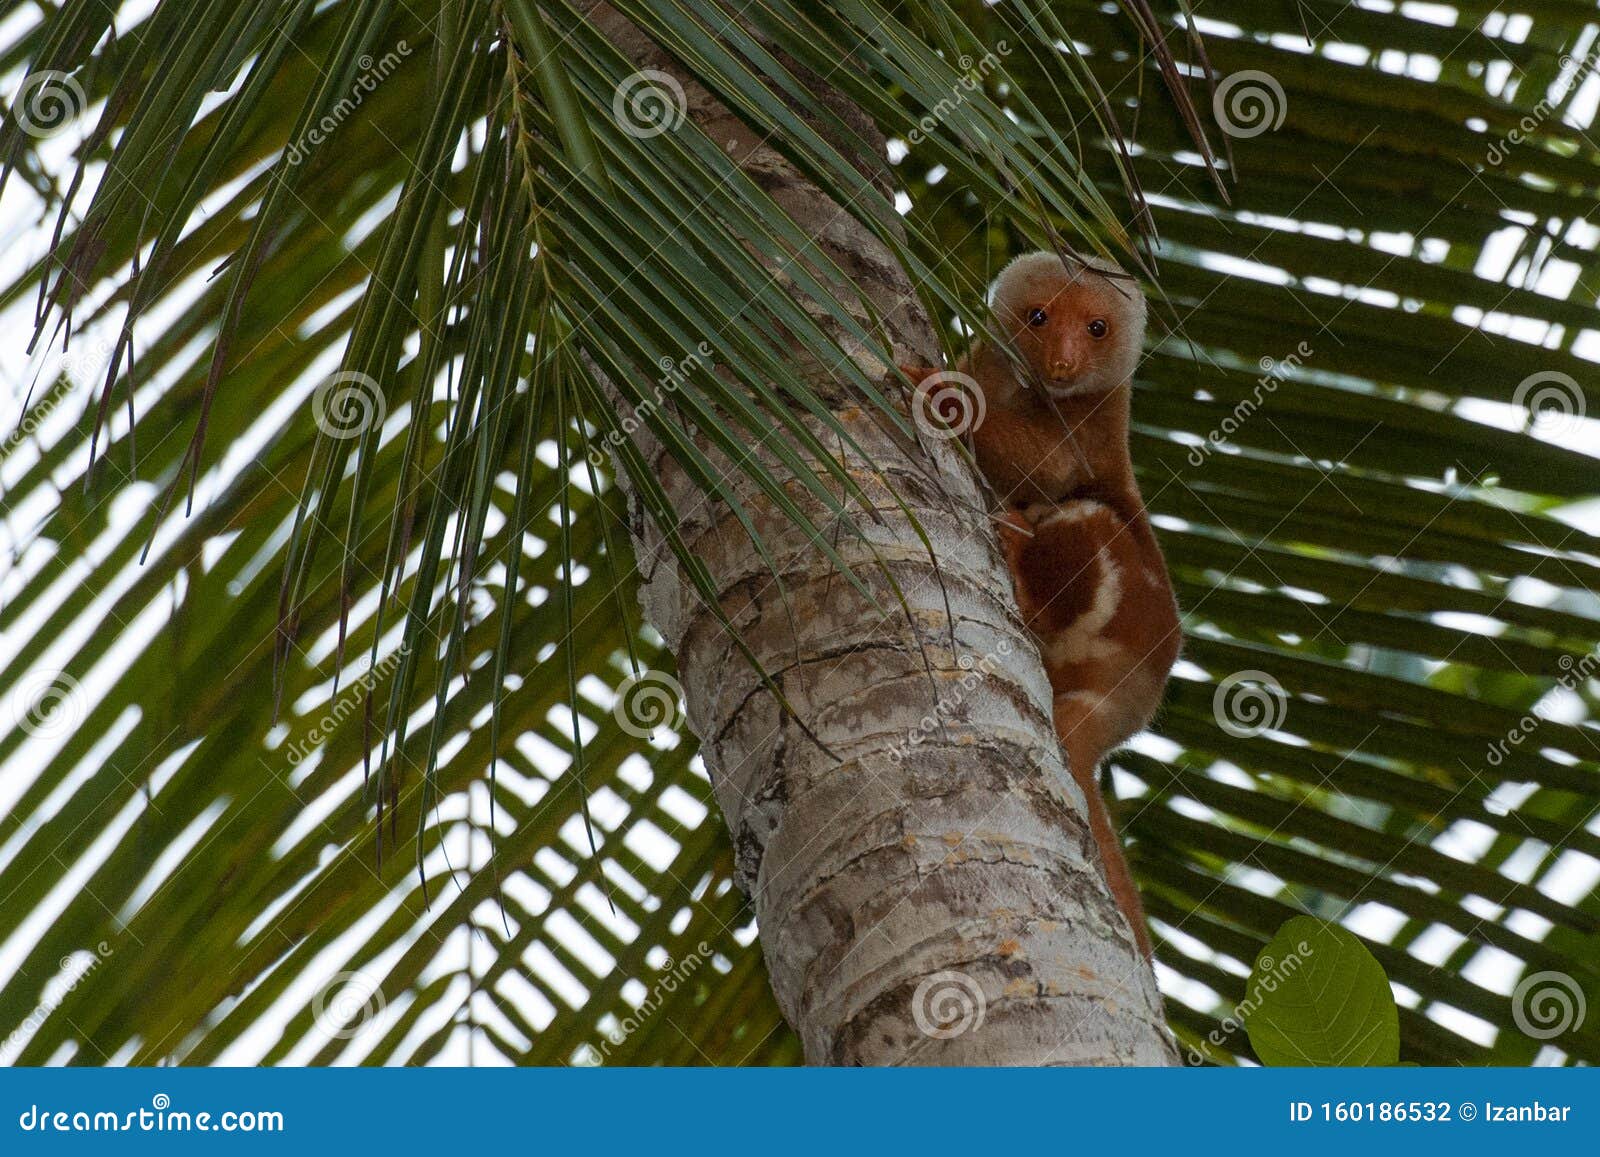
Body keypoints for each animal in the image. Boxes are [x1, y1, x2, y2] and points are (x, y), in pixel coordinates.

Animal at [901, 250, 1180, 957]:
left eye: (1097, 328)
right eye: (1038, 317)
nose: (1063, 362)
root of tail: (1121, 704)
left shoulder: (1088, 431)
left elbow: (1045, 468)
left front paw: (931, 388)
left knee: (1084, 519)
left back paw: (1019, 562)